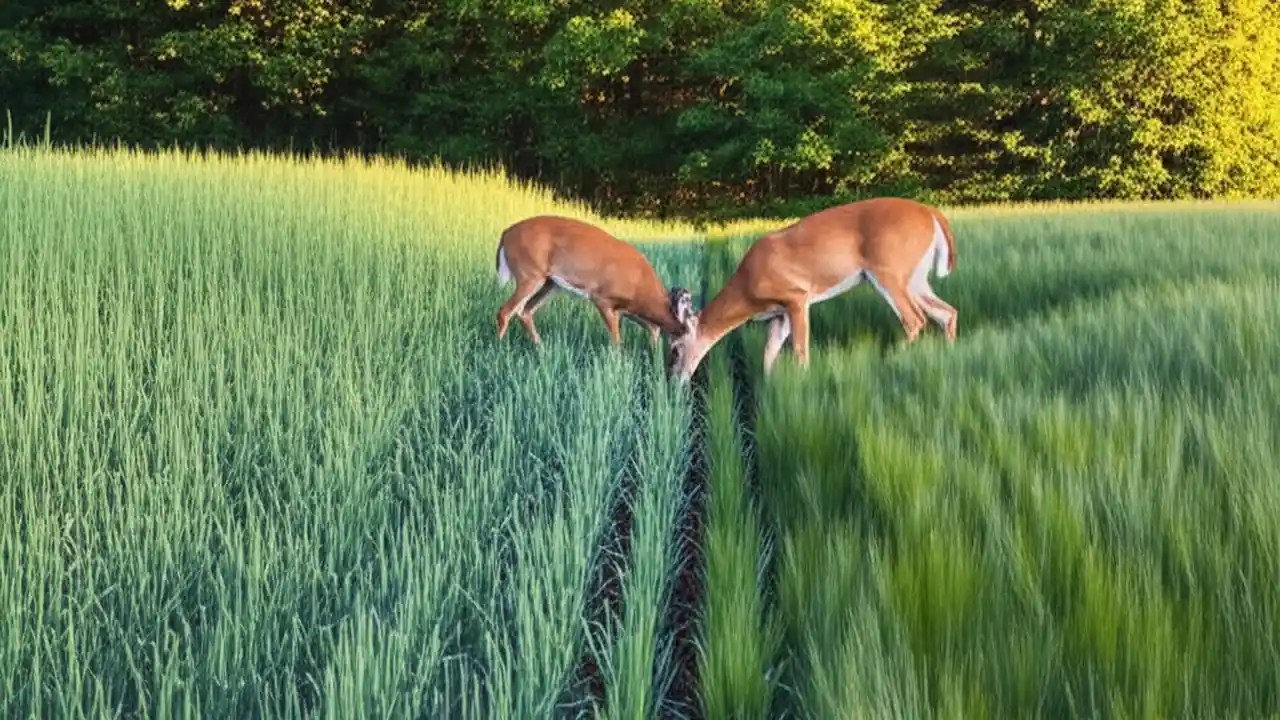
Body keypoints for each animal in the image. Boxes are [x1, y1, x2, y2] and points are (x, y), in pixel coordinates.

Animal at [495, 215, 697, 348]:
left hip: (549, 283)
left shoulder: (625, 310)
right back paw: (500, 348)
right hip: (529, 273)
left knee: (524, 311)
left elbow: (652, 328)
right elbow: (617, 342)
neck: (640, 285)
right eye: (690, 316)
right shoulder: (602, 298)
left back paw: (541, 347)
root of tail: (505, 233)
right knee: (505, 311)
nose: (686, 333)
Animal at [666, 197, 957, 384]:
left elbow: (800, 351)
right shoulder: (779, 314)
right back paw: (945, 358)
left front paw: (802, 385)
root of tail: (932, 214)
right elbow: (768, 355)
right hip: (915, 277)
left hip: (890, 270)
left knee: (914, 319)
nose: (674, 381)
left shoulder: (796, 297)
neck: (747, 288)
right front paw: (769, 392)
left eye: (676, 348)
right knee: (947, 313)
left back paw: (891, 363)